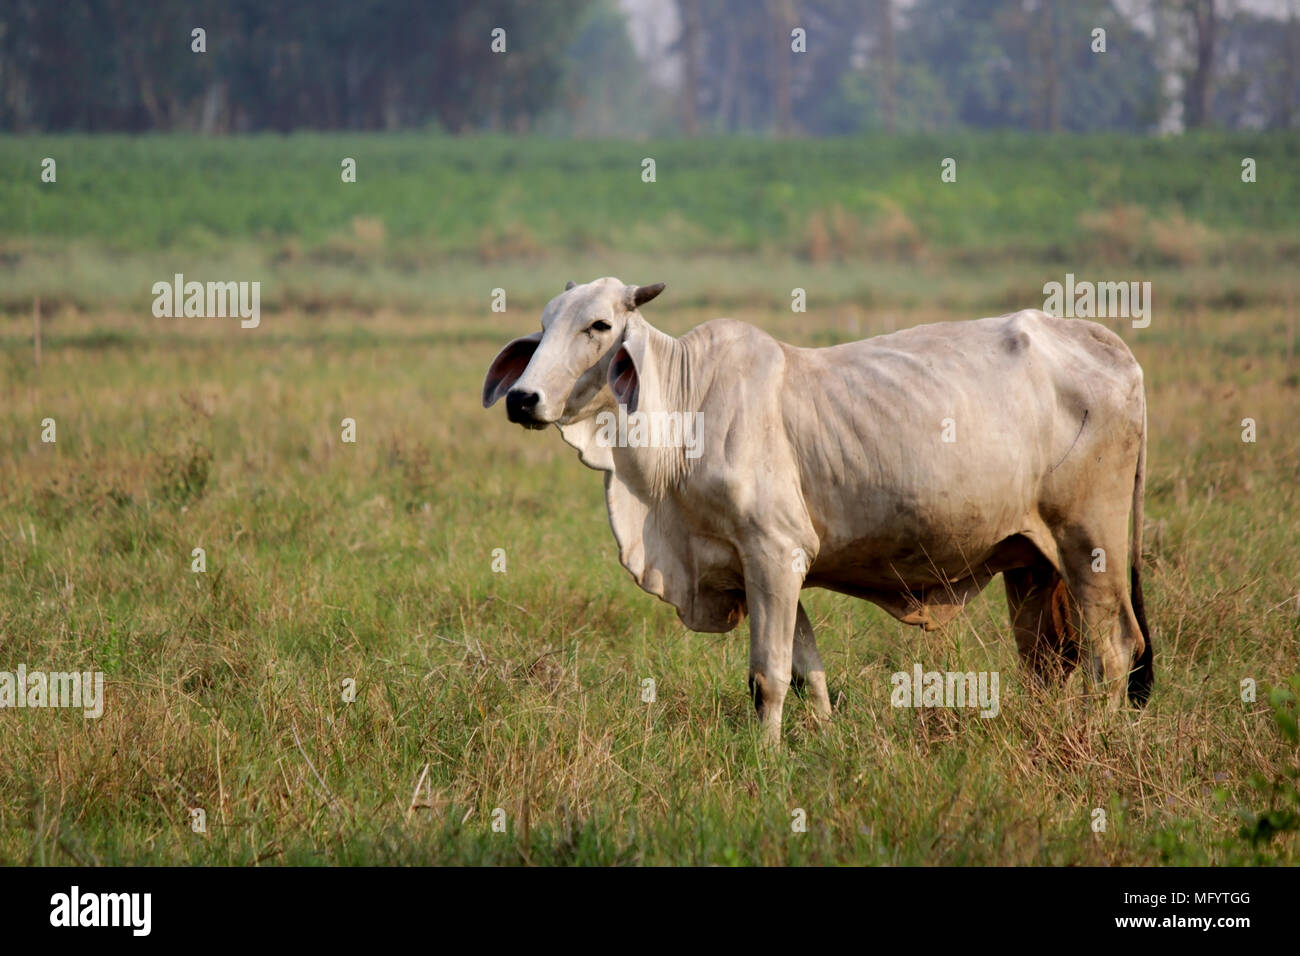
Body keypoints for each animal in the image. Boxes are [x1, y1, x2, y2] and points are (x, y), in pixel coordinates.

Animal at [483, 277, 1152, 744]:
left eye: (598, 325)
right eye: (544, 325)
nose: (522, 398)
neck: (683, 406)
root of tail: (1104, 341)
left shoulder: (774, 553)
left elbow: (770, 674)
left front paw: (766, 755)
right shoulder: (758, 566)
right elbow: (810, 670)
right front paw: (826, 740)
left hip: (1089, 542)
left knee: (1115, 648)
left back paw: (1100, 738)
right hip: (1030, 563)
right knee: (1046, 660)